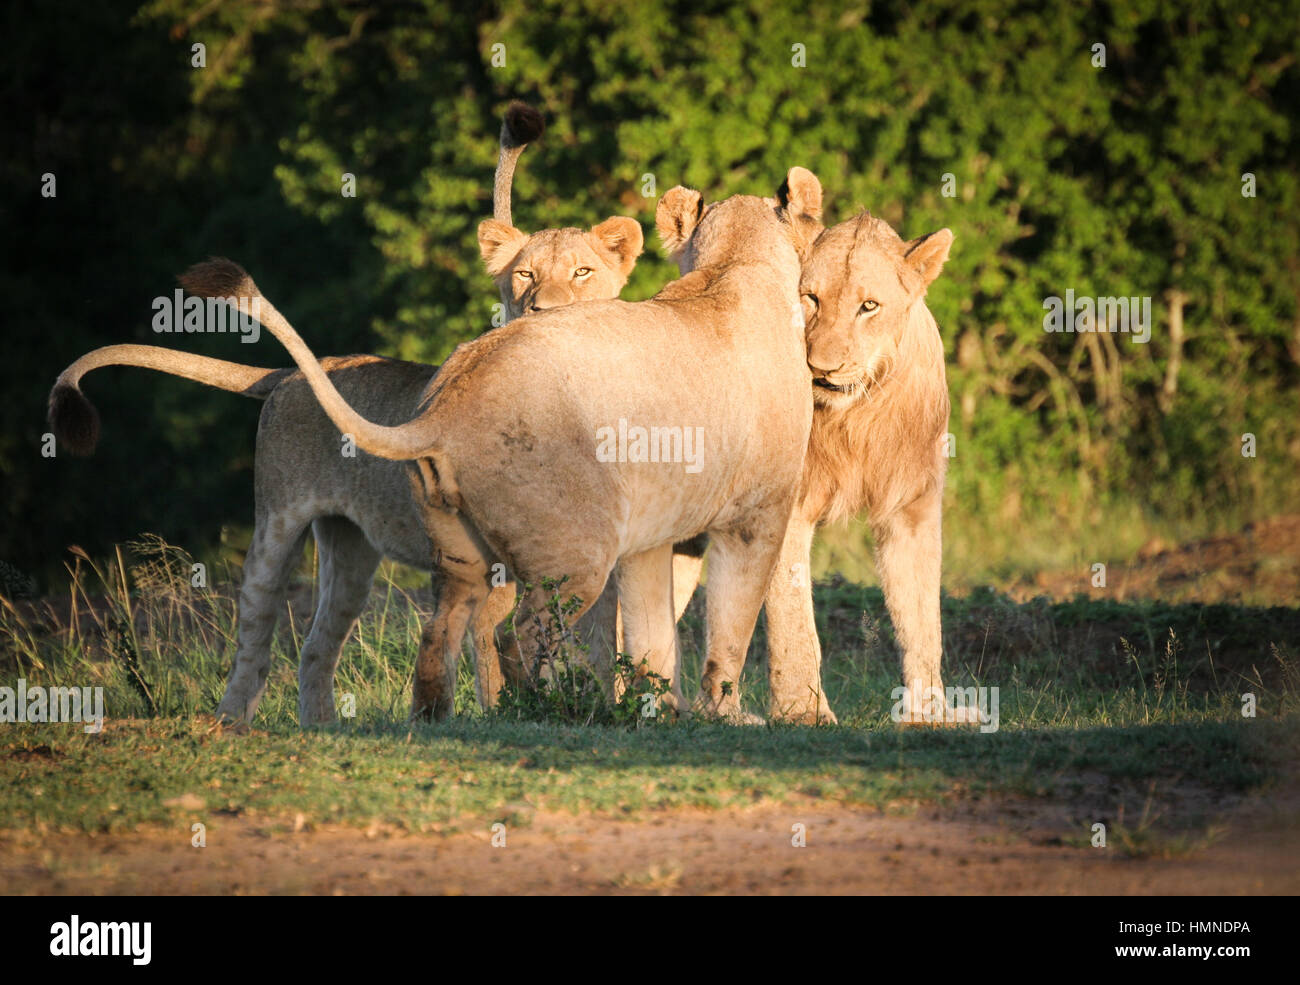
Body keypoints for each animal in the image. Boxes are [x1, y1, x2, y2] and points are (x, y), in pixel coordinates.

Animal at [47, 103, 646, 725]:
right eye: (526, 276)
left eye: (582, 273)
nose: (543, 310)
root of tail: (290, 374)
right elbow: (496, 644)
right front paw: (511, 711)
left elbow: (603, 641)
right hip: (278, 521)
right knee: (256, 628)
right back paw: (231, 721)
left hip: (350, 547)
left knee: (317, 643)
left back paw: (323, 726)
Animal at [177, 168, 825, 722]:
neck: (735, 263)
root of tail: (445, 406)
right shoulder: (756, 516)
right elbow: (730, 627)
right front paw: (724, 712)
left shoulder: (653, 534)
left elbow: (652, 634)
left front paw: (658, 709)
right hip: (576, 549)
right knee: (517, 633)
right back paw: (554, 711)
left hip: (458, 551)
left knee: (440, 632)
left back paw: (437, 722)